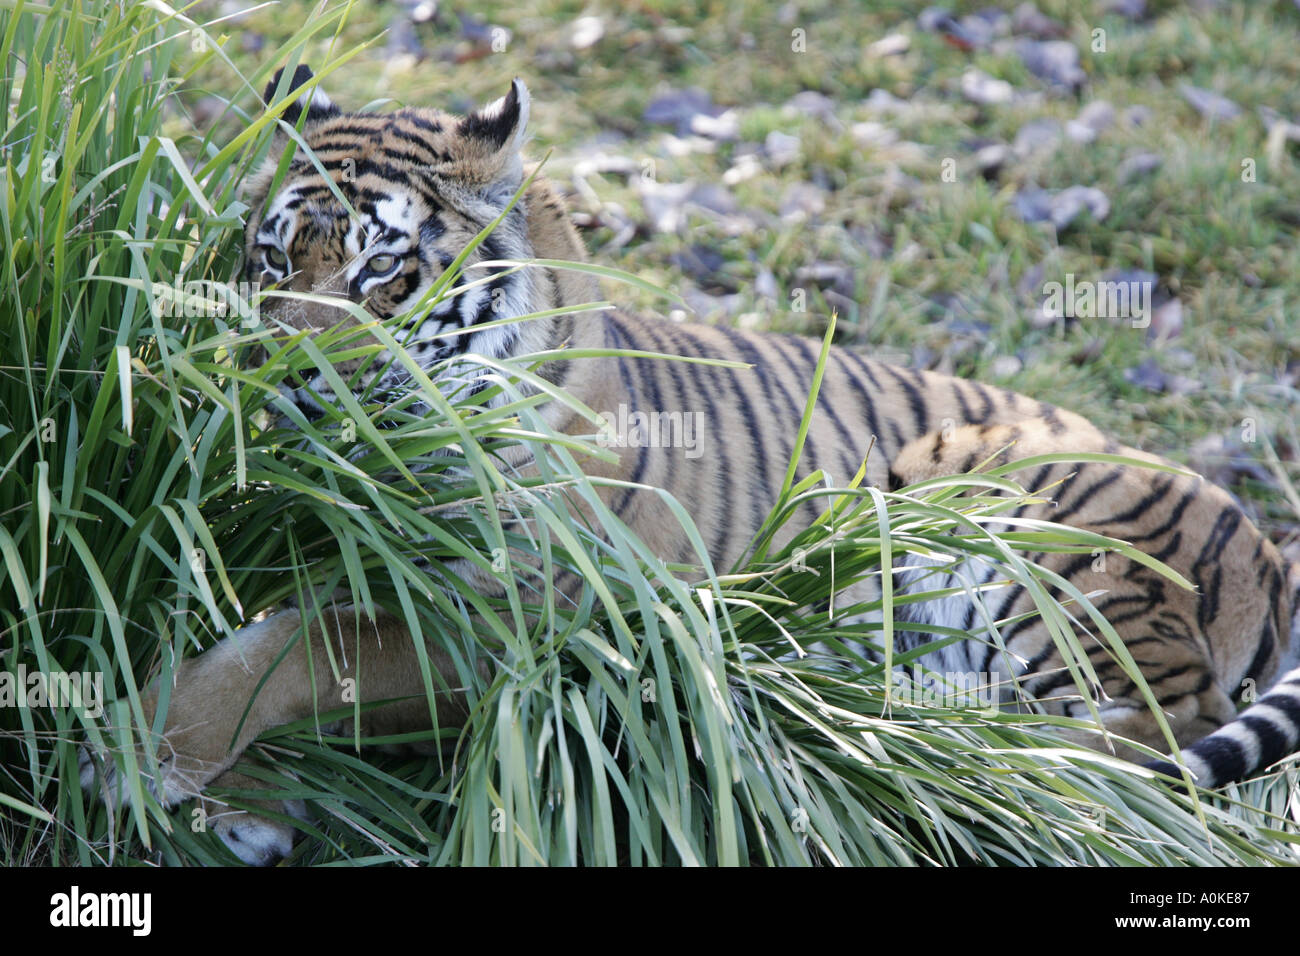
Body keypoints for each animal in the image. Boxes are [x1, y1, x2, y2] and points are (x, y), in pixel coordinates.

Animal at [81, 65, 1300, 865]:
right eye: (273, 258)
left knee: (1141, 742)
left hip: (1032, 536)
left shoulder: (526, 607)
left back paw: (926, 743)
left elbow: (294, 650)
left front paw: (139, 747)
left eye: (382, 269)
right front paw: (244, 804)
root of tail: (1264, 541)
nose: (276, 379)